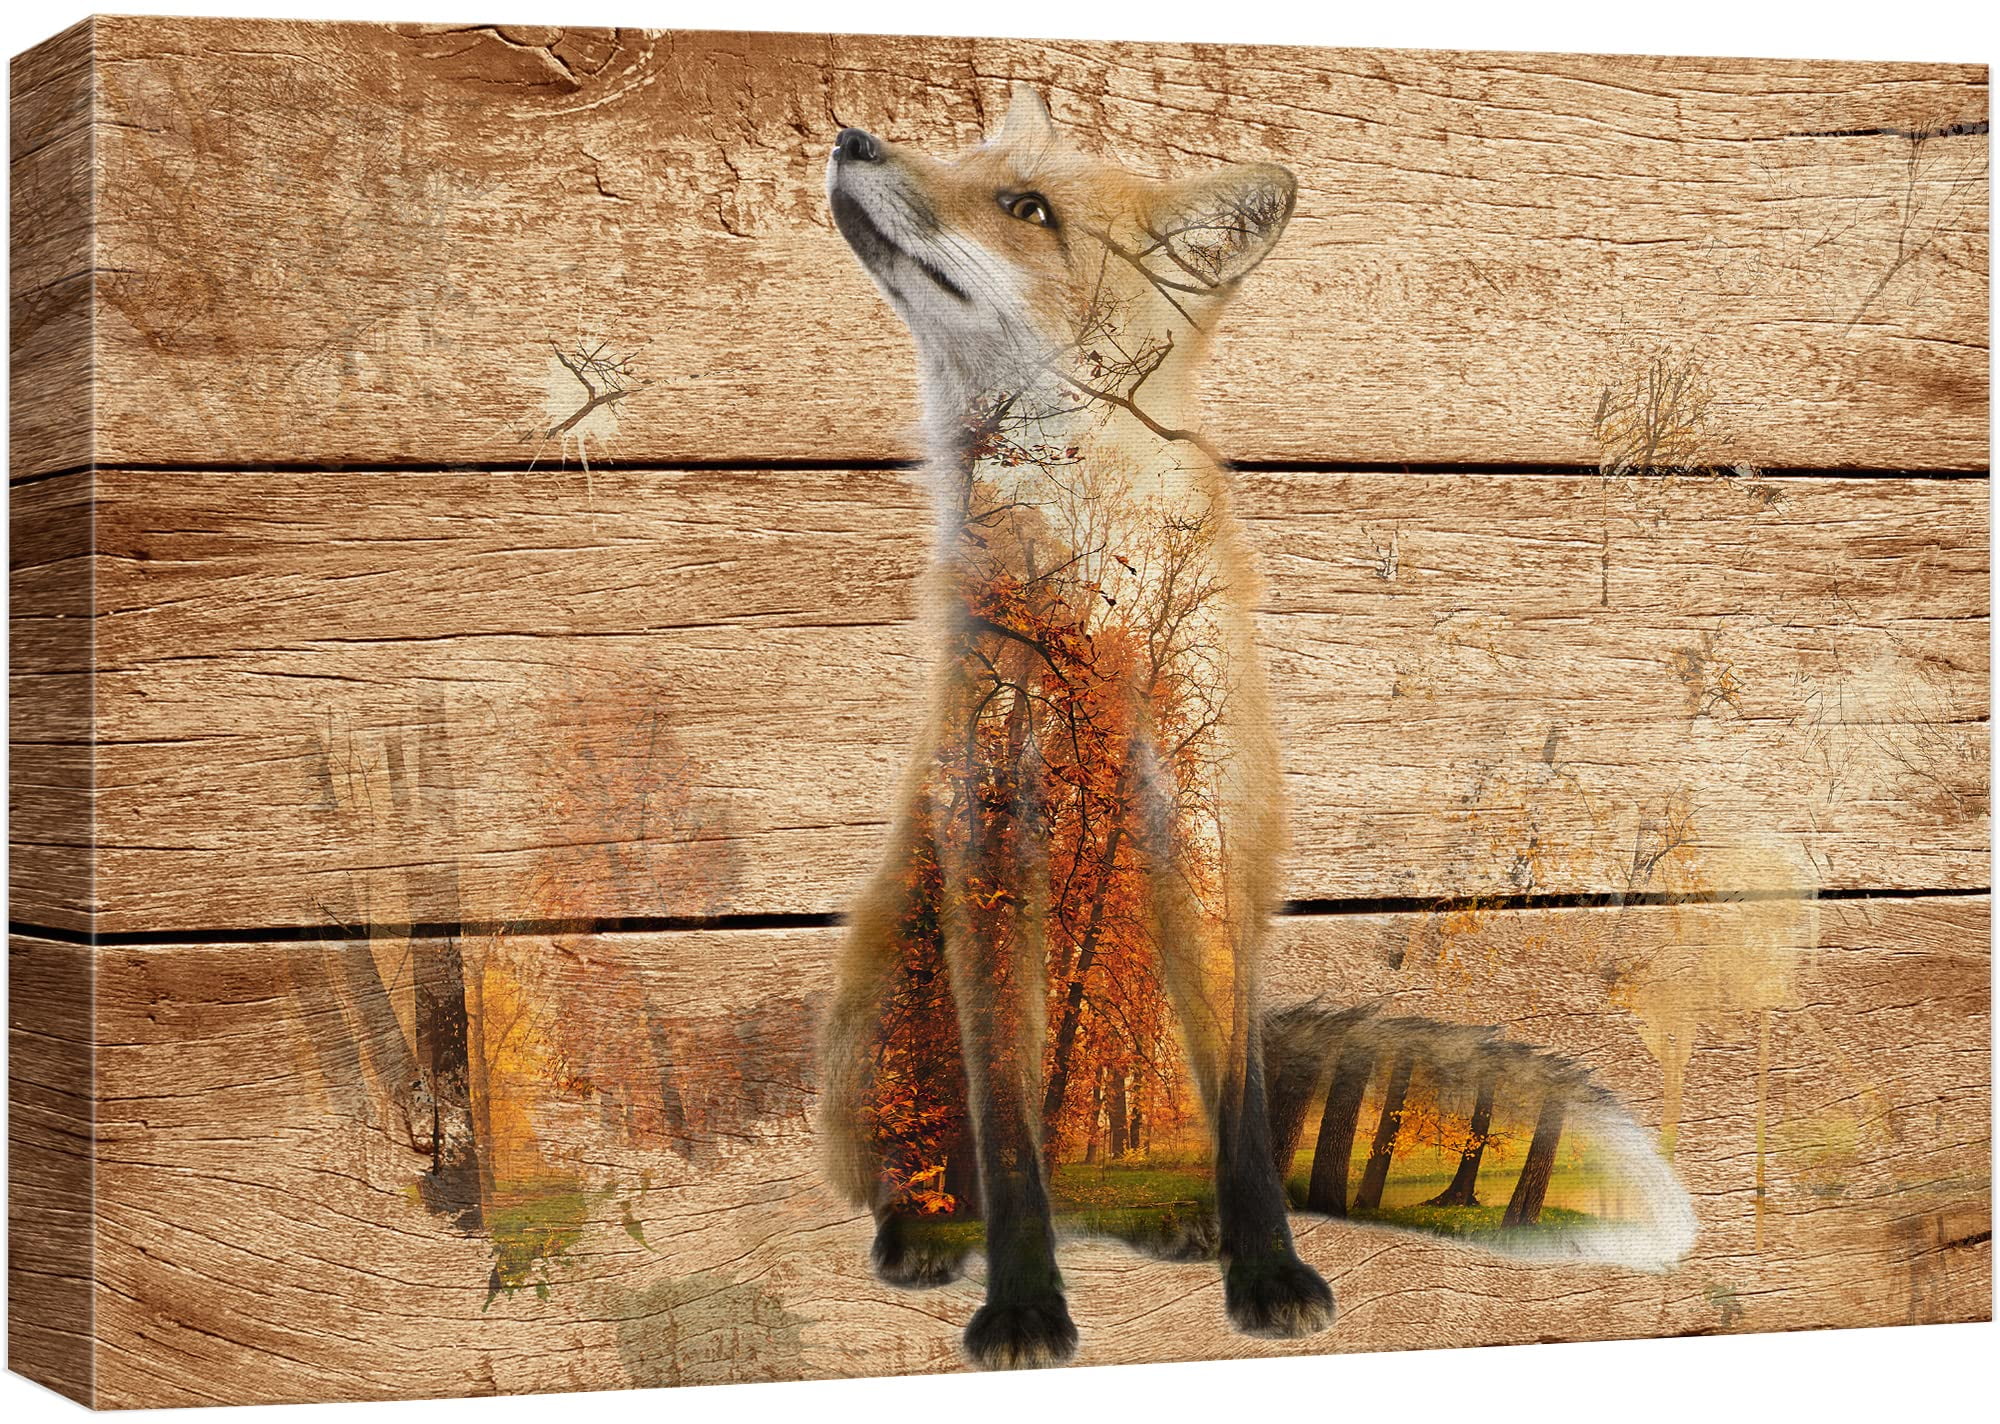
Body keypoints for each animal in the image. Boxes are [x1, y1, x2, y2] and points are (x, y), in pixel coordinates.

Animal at [817, 85, 1696, 1370]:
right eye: (969, 161)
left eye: (1023, 205)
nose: (850, 140)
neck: (1095, 616)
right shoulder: (992, 846)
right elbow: (1006, 1124)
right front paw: (1024, 1304)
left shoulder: (1206, 832)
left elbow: (1239, 1118)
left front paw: (1267, 1268)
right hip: (900, 977)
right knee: (954, 1156)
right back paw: (930, 1227)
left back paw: (1177, 1217)